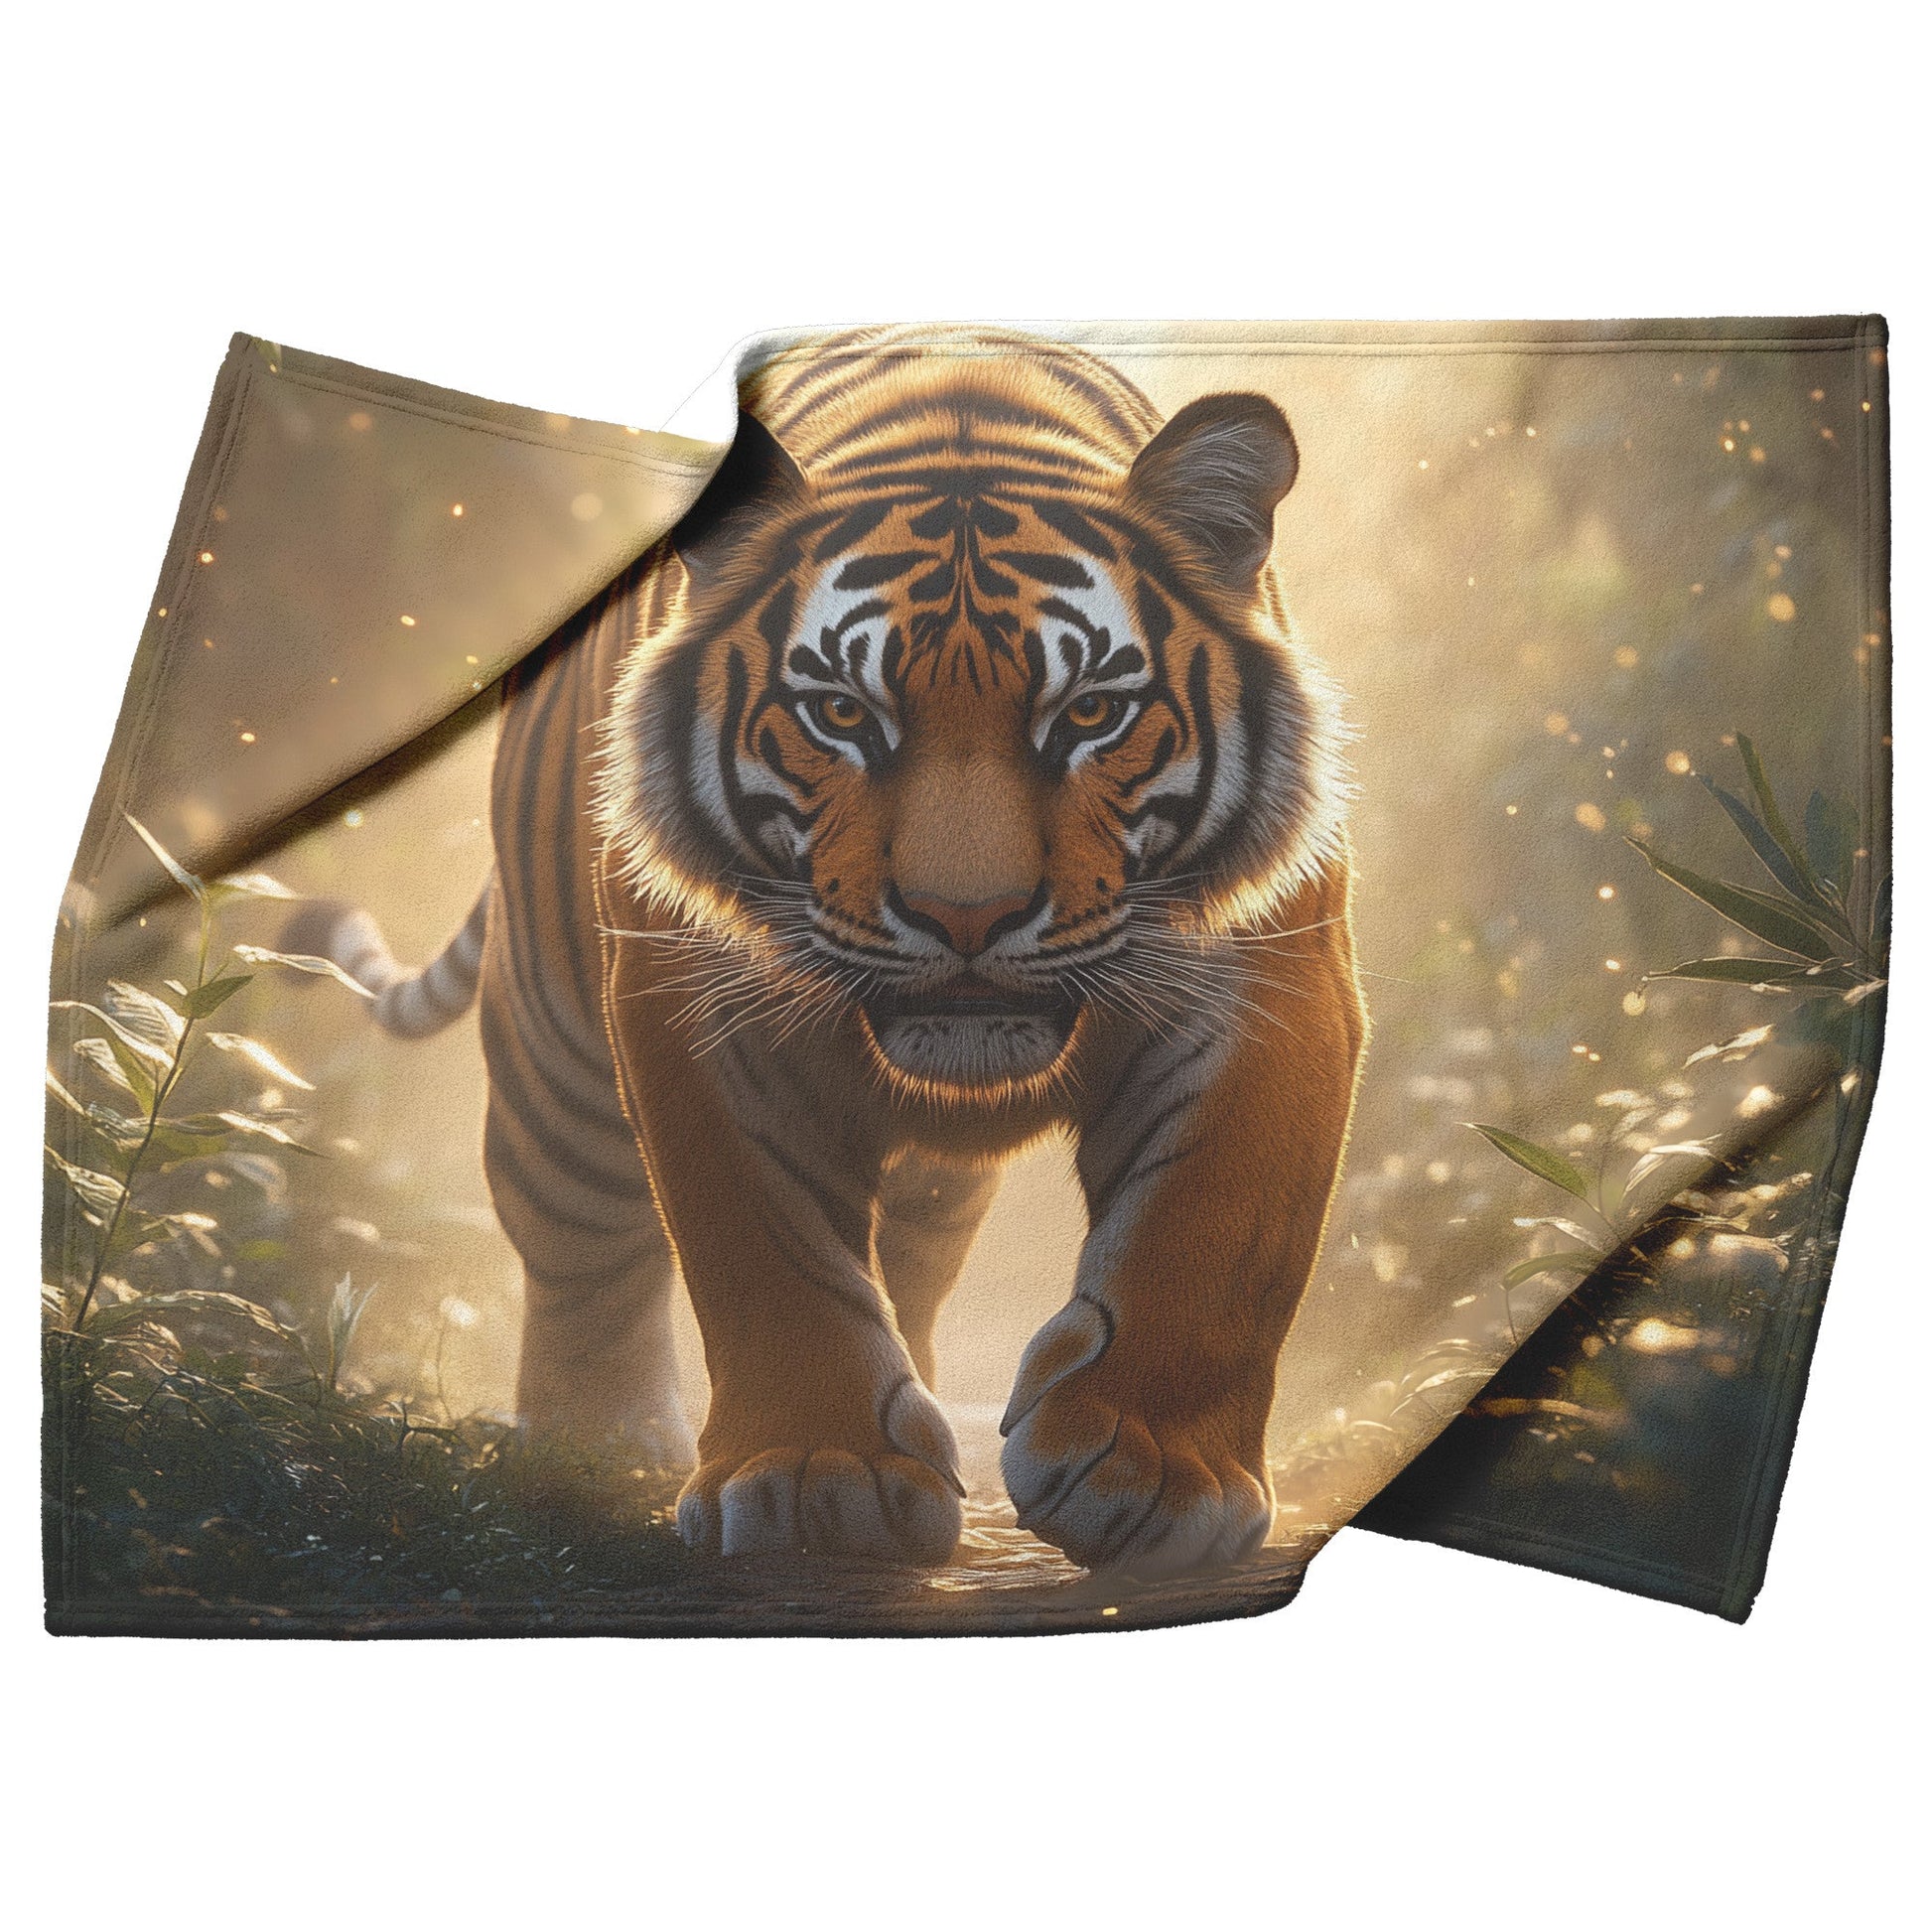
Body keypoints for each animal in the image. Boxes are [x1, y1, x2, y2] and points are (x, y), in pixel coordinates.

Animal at [299, 325, 1367, 1578]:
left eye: (1090, 713)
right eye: (844, 715)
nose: (966, 915)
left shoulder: (1268, 979)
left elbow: (1210, 1225)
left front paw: (1150, 1473)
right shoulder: (701, 1004)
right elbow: (765, 1253)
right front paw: (819, 1478)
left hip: (932, 1182)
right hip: (552, 1064)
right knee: (578, 1252)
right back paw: (594, 1450)